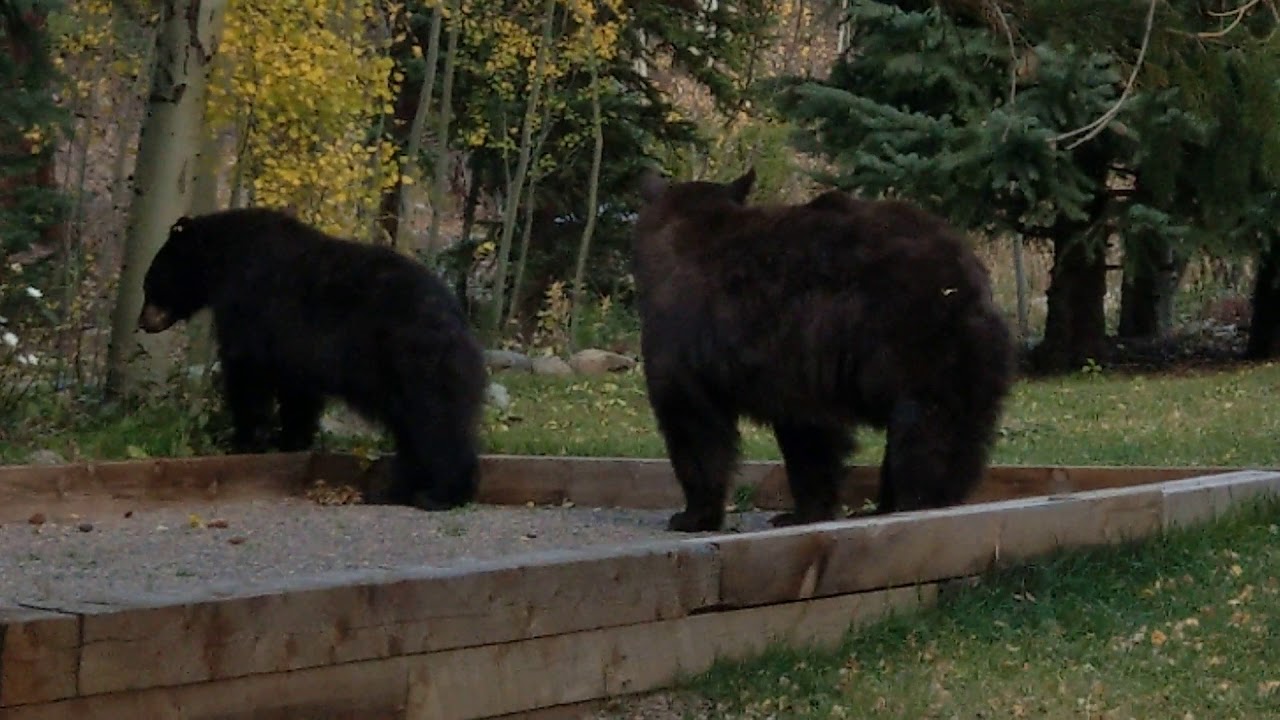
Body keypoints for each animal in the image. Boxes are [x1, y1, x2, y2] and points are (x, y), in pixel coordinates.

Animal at [137, 207, 488, 511]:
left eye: (149, 284)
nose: (142, 322)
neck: (224, 260)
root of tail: (460, 320)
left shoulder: (251, 306)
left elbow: (247, 374)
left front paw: (246, 440)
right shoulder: (295, 350)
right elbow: (298, 393)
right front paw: (291, 439)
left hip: (416, 360)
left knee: (435, 420)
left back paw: (440, 494)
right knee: (413, 428)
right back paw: (395, 490)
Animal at [632, 169, 1015, 532]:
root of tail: (966, 276)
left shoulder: (694, 338)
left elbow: (694, 422)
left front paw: (694, 515)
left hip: (914, 341)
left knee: (927, 427)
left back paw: (917, 503)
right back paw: (890, 504)